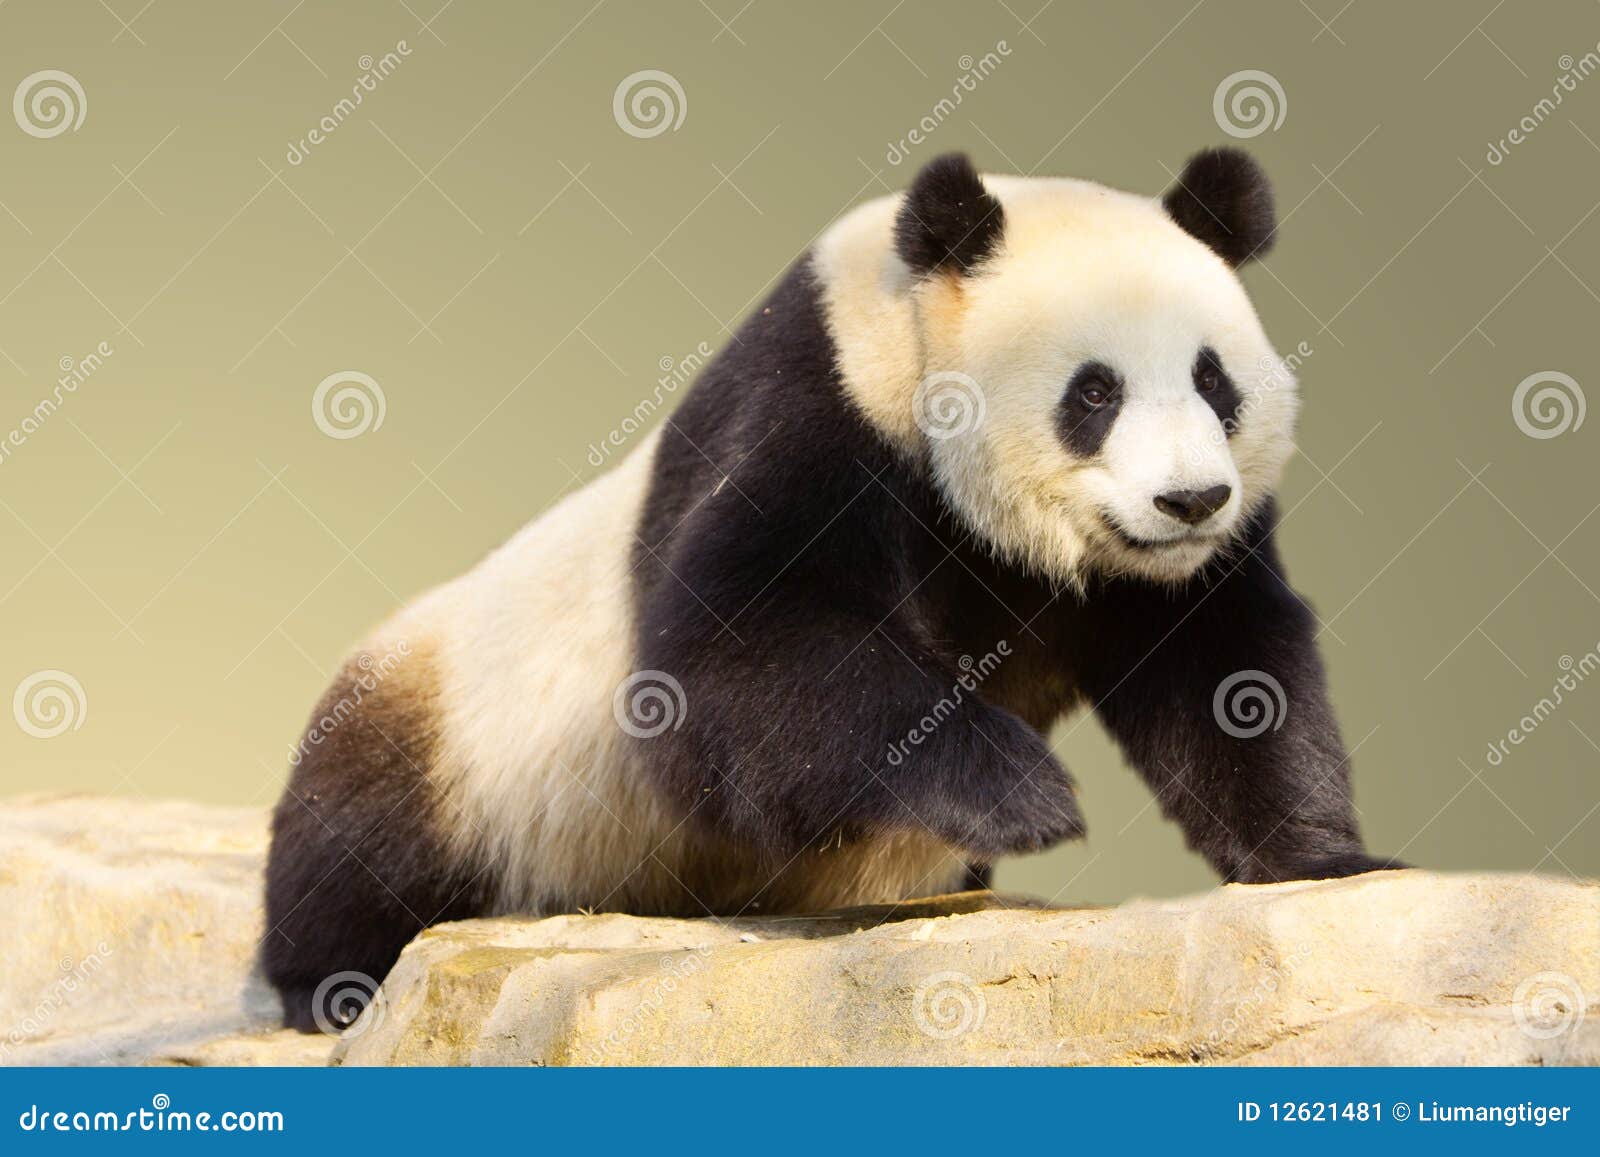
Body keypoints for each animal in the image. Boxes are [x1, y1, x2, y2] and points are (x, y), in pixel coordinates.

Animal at [264, 147, 1402, 1031]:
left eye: (1215, 382)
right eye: (1094, 392)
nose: (1191, 499)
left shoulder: (1167, 576)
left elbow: (1224, 665)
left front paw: (1322, 859)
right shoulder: (818, 409)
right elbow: (730, 656)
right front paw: (1016, 791)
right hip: (462, 735)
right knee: (359, 839)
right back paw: (330, 979)